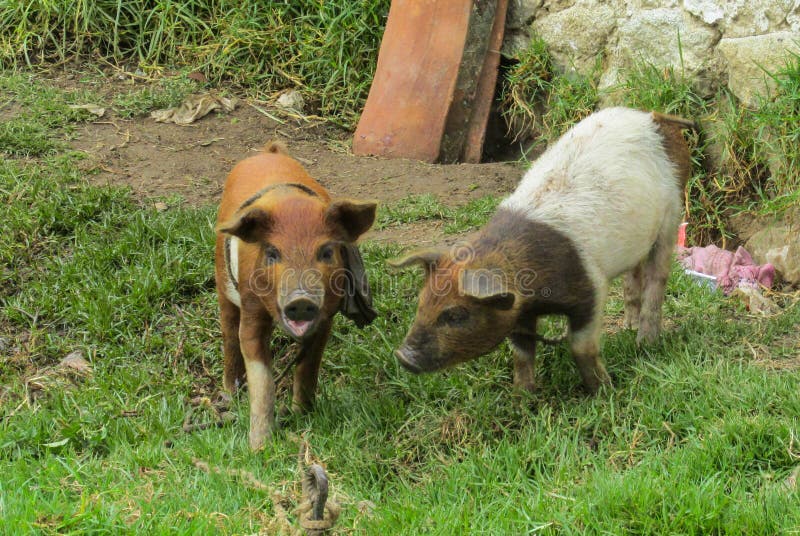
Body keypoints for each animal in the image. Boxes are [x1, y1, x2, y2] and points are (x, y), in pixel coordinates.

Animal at [215, 142, 377, 450]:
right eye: (272, 253)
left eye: (326, 251)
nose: (300, 300)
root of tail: (268, 153)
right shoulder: (252, 305)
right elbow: (260, 374)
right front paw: (259, 447)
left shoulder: (326, 316)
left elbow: (308, 367)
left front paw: (303, 415)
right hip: (222, 280)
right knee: (229, 334)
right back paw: (230, 395)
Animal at [391, 107, 693, 394]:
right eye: (422, 302)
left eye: (456, 314)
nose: (403, 356)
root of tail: (653, 117)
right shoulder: (518, 312)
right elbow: (522, 355)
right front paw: (523, 398)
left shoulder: (593, 288)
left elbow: (580, 345)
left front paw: (603, 391)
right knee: (634, 273)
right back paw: (629, 327)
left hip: (672, 213)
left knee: (657, 277)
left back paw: (646, 344)